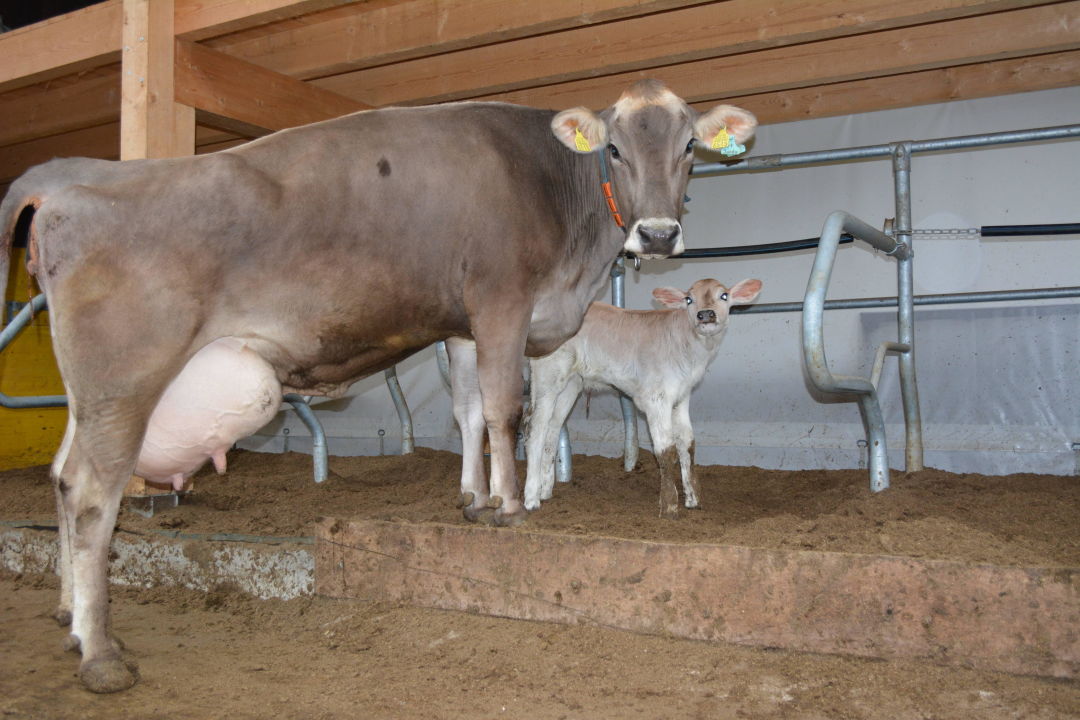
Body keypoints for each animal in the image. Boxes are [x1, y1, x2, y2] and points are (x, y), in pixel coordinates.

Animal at [524, 278, 763, 517]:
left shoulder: (682, 396)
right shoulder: (656, 398)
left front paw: (693, 499)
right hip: (547, 375)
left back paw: (545, 491)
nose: (705, 314)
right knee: (535, 430)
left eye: (724, 295)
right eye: (688, 299)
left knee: (552, 429)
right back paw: (531, 499)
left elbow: (687, 443)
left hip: (571, 384)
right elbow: (666, 449)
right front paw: (669, 506)